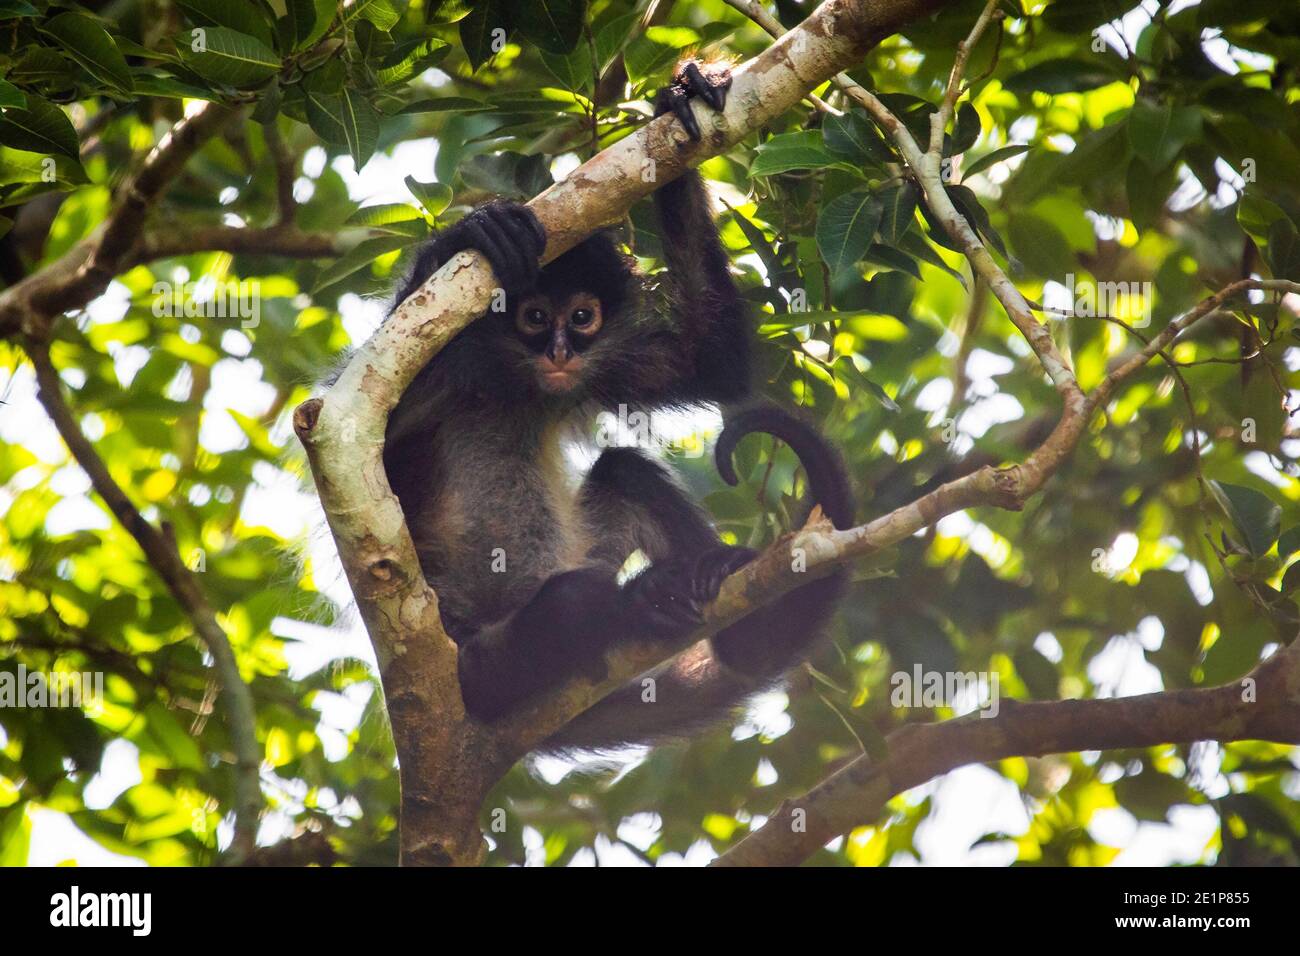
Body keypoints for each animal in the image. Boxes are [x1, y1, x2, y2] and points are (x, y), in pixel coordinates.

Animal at [378, 61, 855, 747]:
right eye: (533, 318)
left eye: (581, 318)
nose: (557, 351)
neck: (513, 384)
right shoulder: (451, 365)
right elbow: (364, 438)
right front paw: (465, 236)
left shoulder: (598, 365)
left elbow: (712, 362)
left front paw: (685, 99)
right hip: (478, 668)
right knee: (572, 602)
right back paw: (645, 601)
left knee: (625, 470)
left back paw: (718, 591)